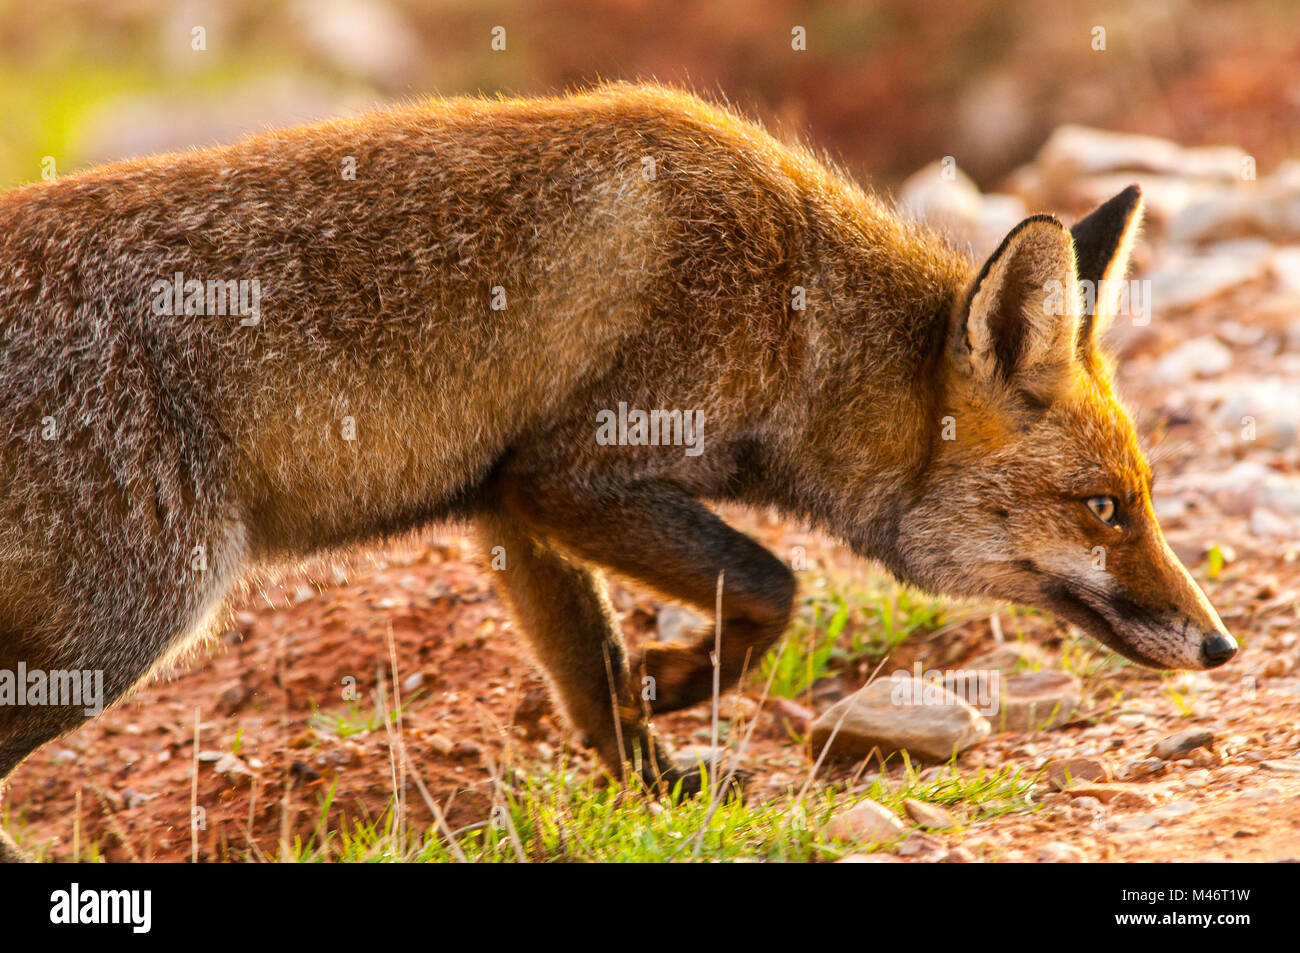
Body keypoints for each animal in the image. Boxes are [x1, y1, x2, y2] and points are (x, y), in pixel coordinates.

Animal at [2, 83, 1237, 863]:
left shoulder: (509, 500)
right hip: (128, 621)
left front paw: (659, 786)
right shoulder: (575, 476)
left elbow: (592, 676)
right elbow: (773, 584)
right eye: (1104, 508)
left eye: (1142, 504)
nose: (1222, 644)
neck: (793, 307)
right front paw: (685, 679)